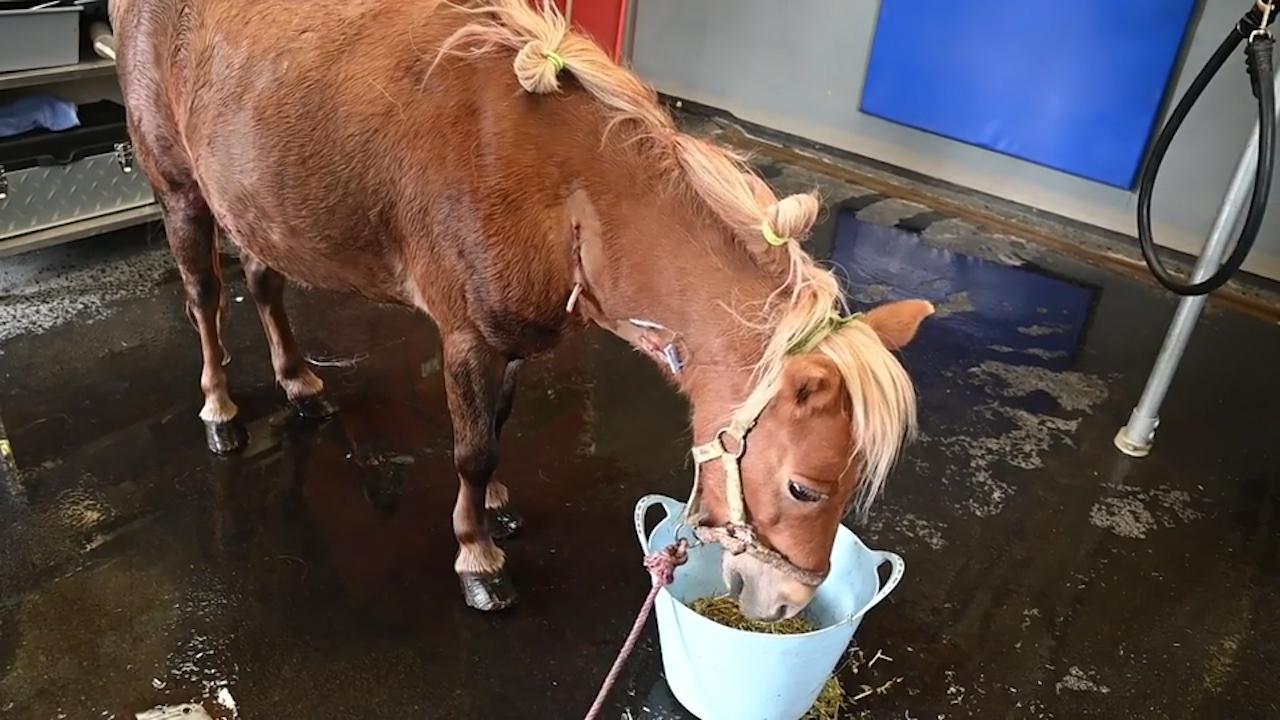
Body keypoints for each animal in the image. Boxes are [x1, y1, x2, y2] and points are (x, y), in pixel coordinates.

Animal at [109, 0, 933, 619]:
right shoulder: (468, 338)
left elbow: (497, 430)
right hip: (182, 190)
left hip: (260, 206)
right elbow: (472, 449)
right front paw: (478, 557)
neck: (567, 196)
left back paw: (300, 383)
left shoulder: (509, 342)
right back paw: (220, 411)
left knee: (265, 286)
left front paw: (497, 505)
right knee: (205, 300)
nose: (787, 604)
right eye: (804, 487)